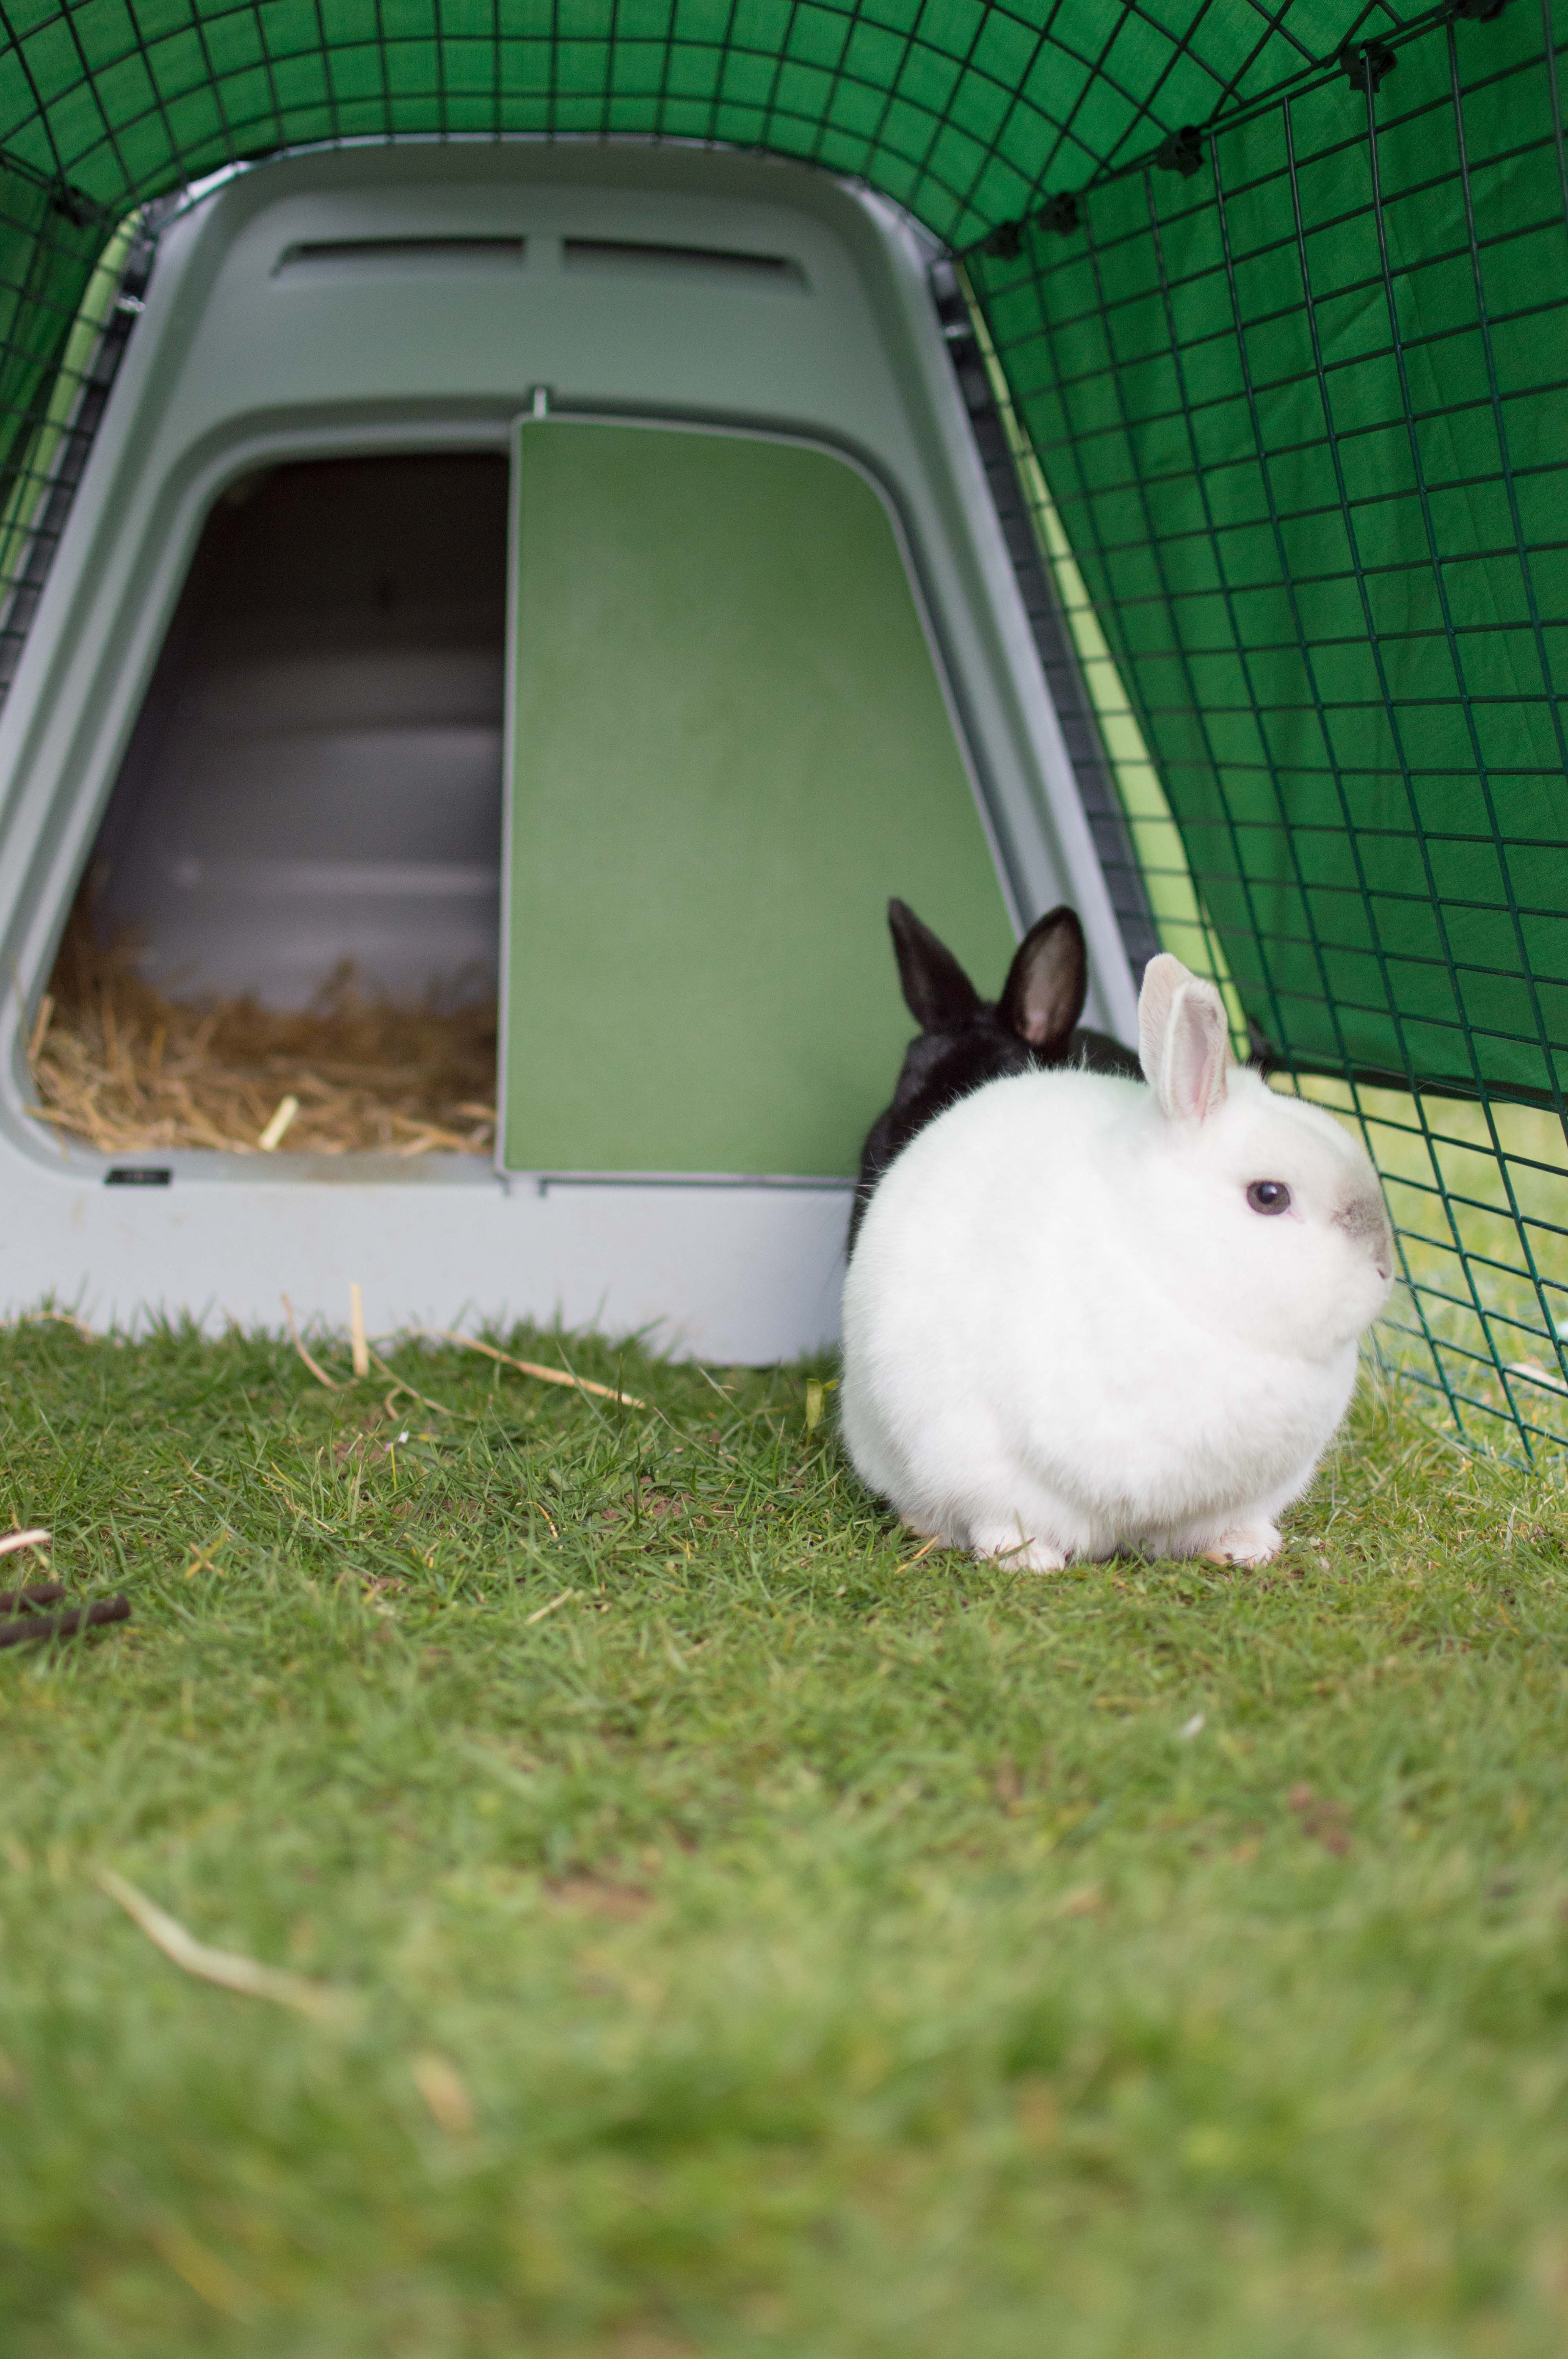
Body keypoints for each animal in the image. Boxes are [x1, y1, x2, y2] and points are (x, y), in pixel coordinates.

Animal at [840, 953, 1394, 1570]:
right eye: (1269, 1196)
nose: (1384, 1270)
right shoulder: (977, 1459)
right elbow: (995, 1516)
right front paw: (1028, 1560)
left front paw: (1247, 1549)